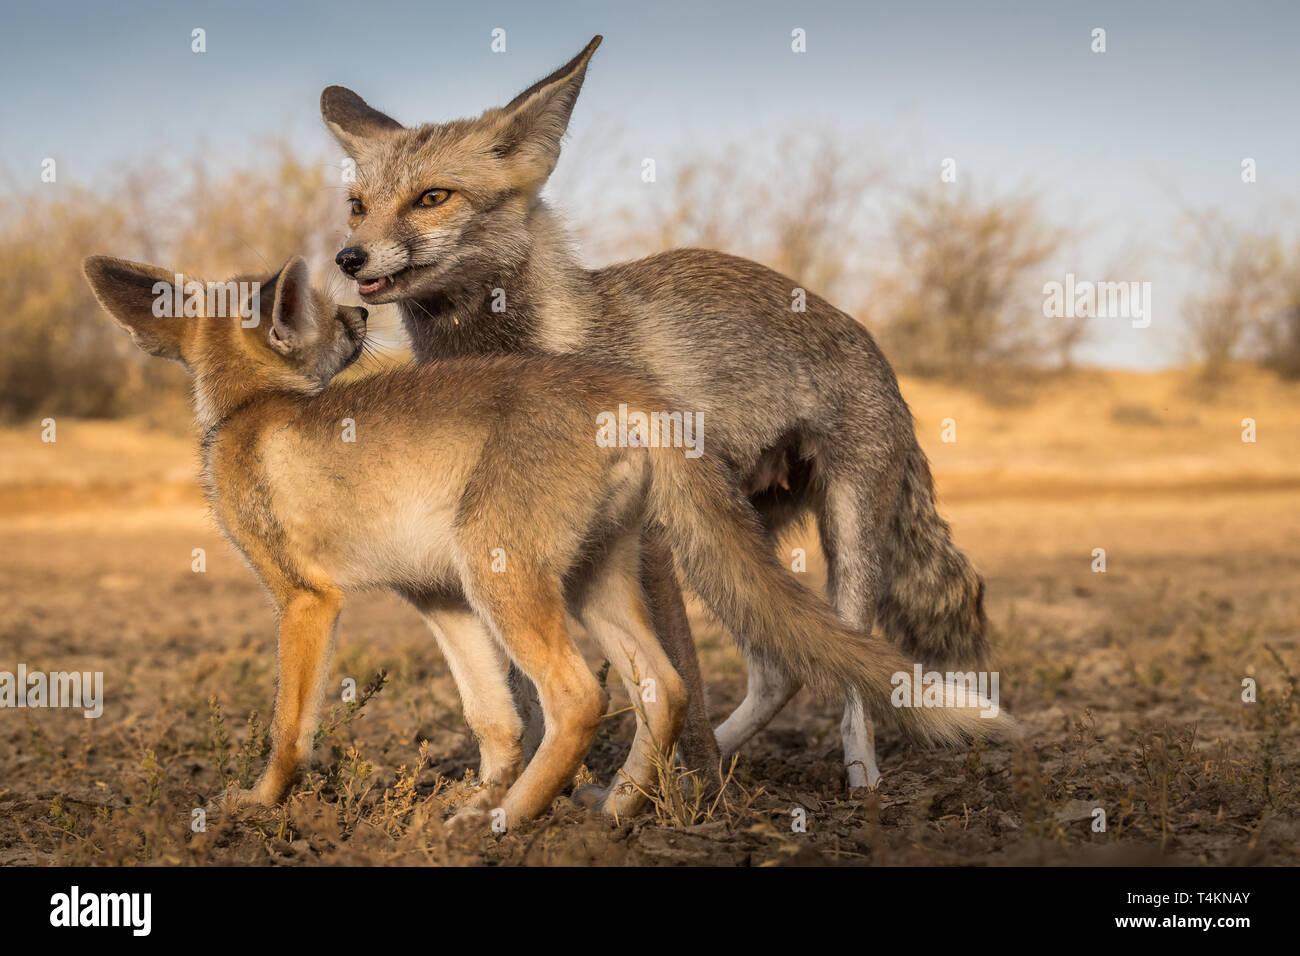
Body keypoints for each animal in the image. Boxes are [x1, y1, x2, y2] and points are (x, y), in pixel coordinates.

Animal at [82, 252, 1008, 826]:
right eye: (336, 323)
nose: (356, 312)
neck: (251, 411)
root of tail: (626, 392)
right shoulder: (438, 597)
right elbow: (492, 719)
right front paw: (470, 794)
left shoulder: (308, 601)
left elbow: (288, 731)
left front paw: (259, 804)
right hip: (585, 582)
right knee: (663, 689)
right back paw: (614, 811)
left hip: (516, 577)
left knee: (579, 698)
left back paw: (516, 821)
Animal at [319, 35, 993, 788]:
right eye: (358, 205)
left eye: (432, 197)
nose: (348, 258)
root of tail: (873, 344)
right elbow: (529, 691)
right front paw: (542, 785)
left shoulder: (652, 542)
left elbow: (678, 681)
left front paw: (675, 795)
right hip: (729, 539)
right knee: (783, 668)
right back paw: (721, 762)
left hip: (826, 537)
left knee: (851, 671)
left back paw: (855, 778)